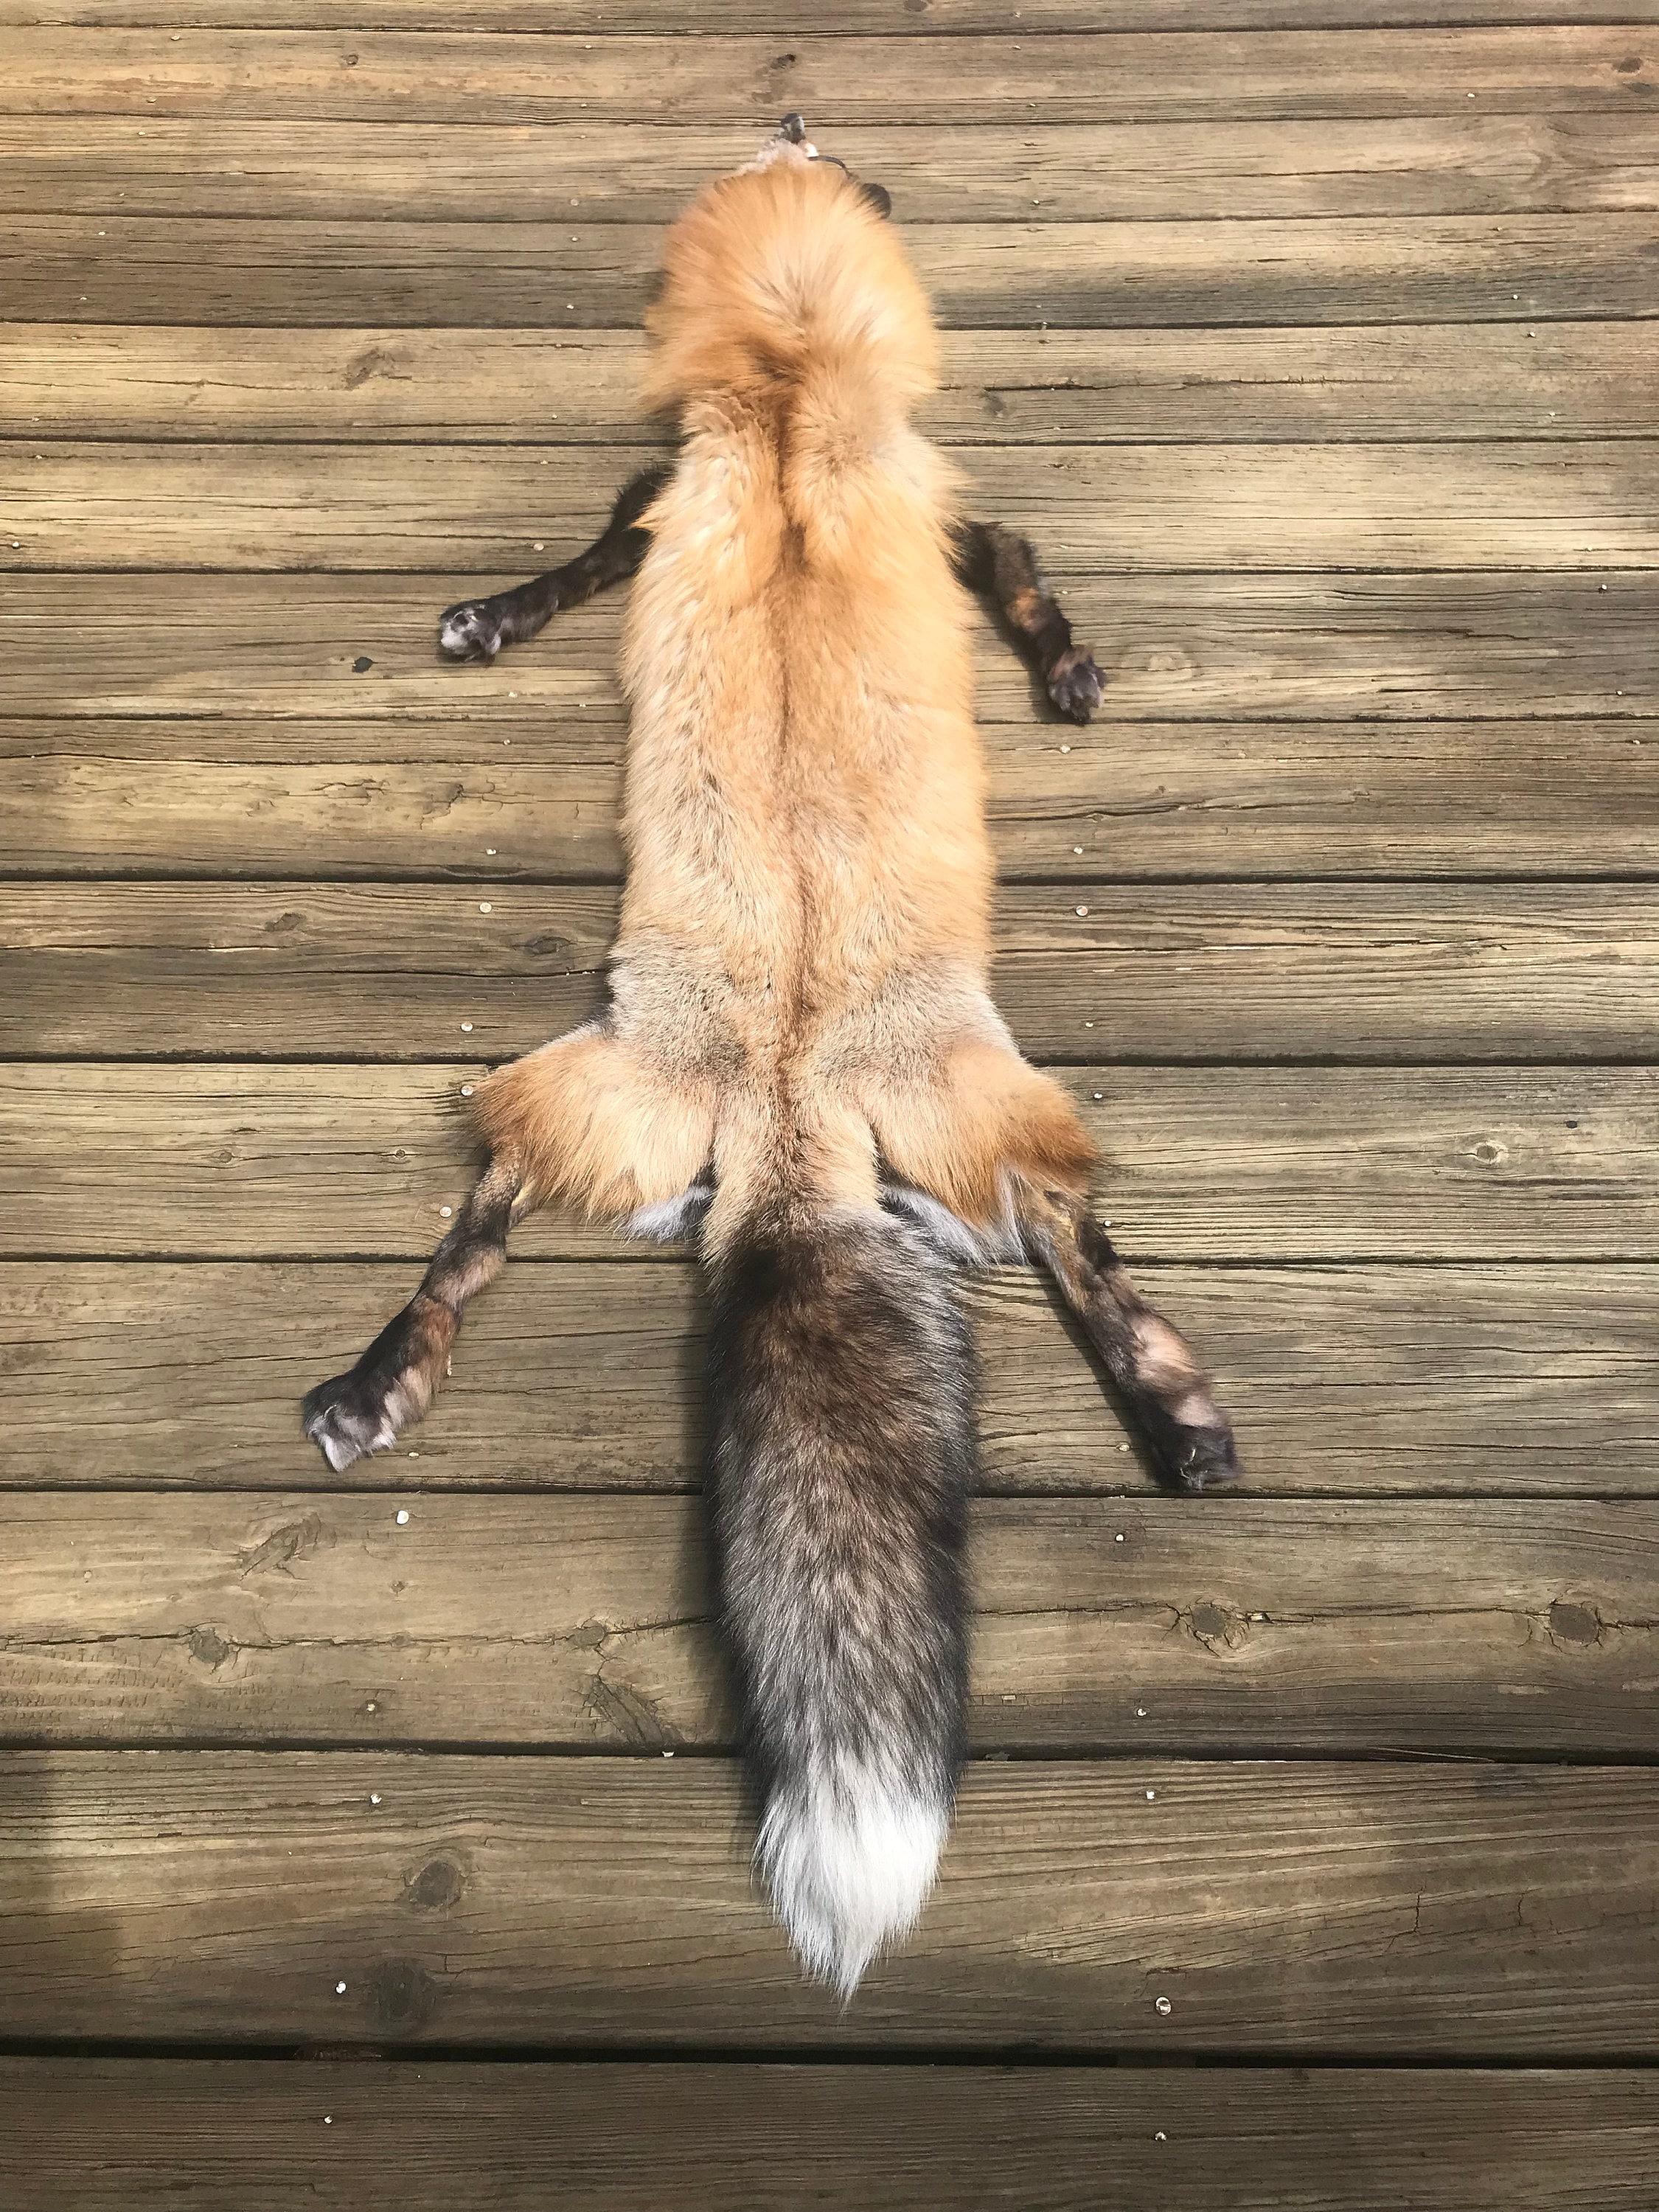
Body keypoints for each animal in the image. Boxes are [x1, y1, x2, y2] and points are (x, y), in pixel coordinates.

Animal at [303, 116, 1240, 1999]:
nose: (809, 125)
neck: (798, 400)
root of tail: (796, 1115)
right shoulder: (872, 490)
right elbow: (979, 547)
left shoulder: (777, 482)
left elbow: (641, 547)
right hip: (800, 1102)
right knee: (1065, 1237)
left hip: (668, 1090)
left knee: (493, 1222)